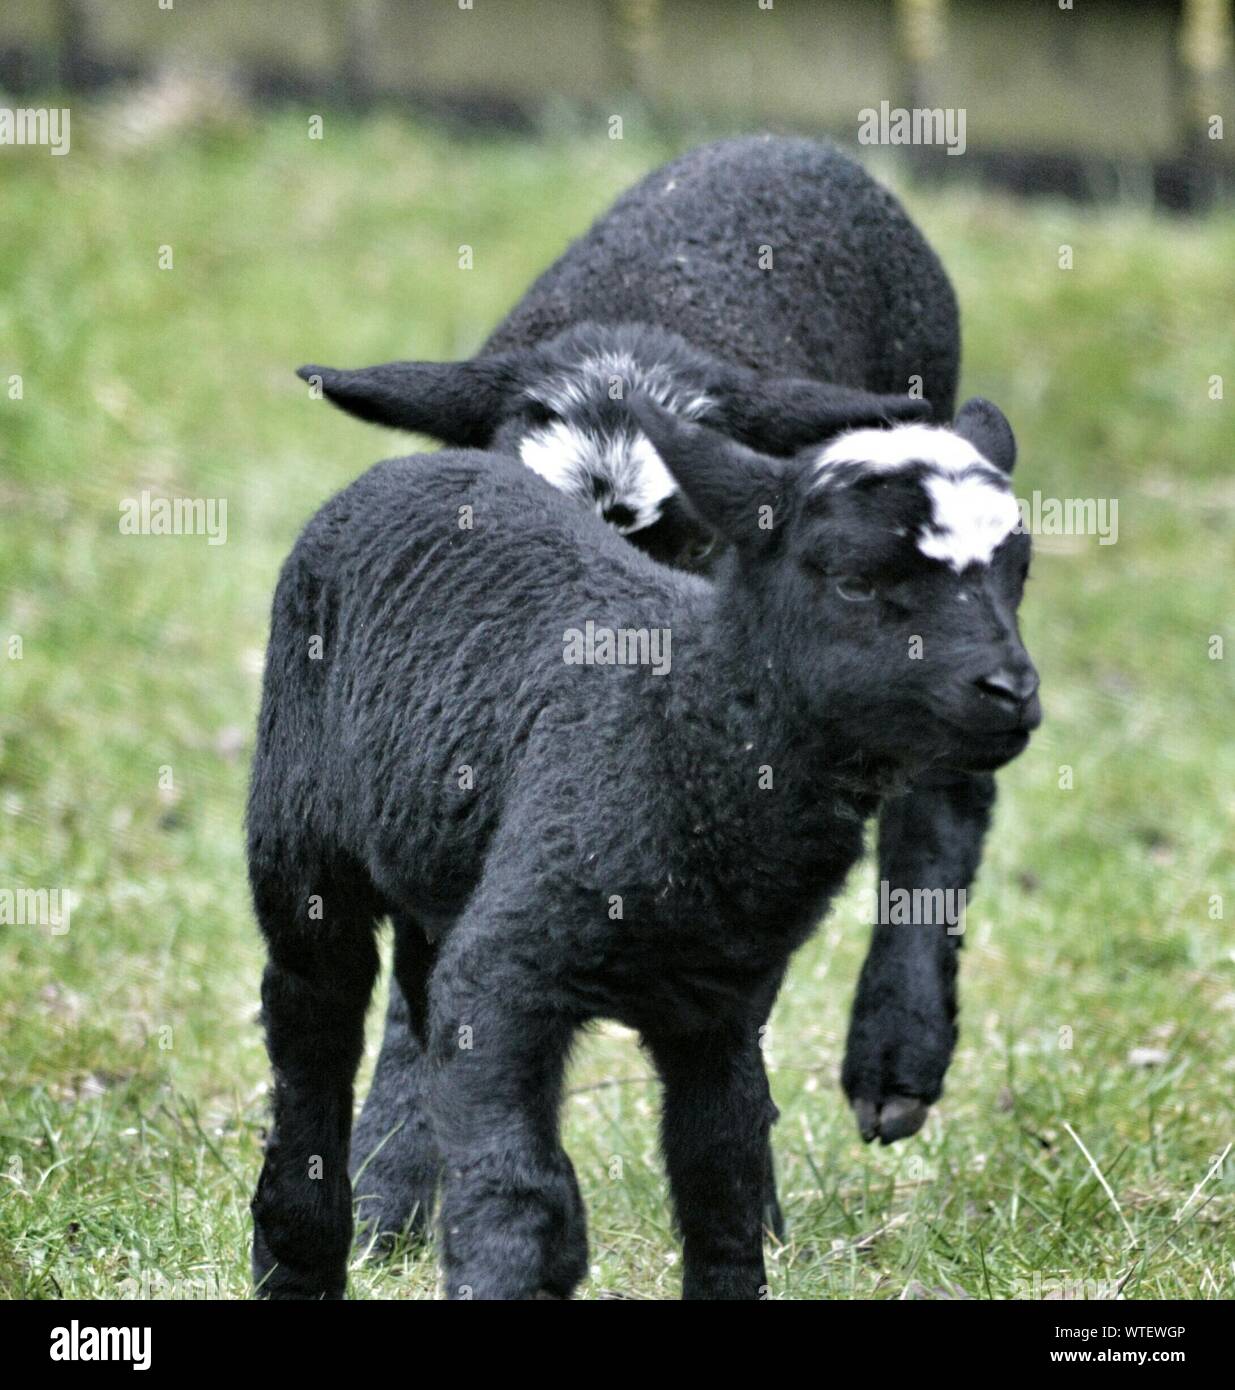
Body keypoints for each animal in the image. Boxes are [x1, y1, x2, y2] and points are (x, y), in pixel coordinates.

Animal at [247, 394, 1040, 1299]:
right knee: (313, 1012)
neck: (684, 719)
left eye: (1018, 574)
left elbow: (721, 1176)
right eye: (853, 581)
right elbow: (518, 1188)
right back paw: (295, 1256)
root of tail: (418, 466)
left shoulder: (720, 1005)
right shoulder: (508, 970)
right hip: (299, 826)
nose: (1011, 692)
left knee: (415, 992)